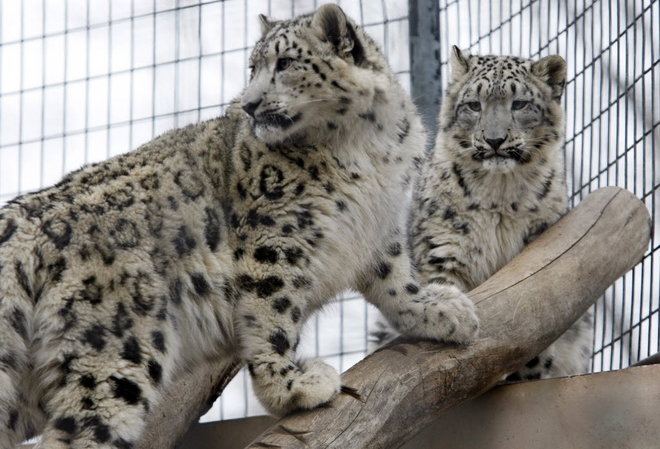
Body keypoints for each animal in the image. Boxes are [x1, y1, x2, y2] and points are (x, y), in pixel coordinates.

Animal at [0, 6, 478, 448]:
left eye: (285, 63)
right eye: (253, 68)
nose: (250, 104)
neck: (365, 148)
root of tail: (21, 223)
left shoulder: (378, 227)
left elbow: (395, 279)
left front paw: (440, 311)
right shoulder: (276, 237)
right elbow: (271, 314)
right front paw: (290, 387)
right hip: (115, 351)